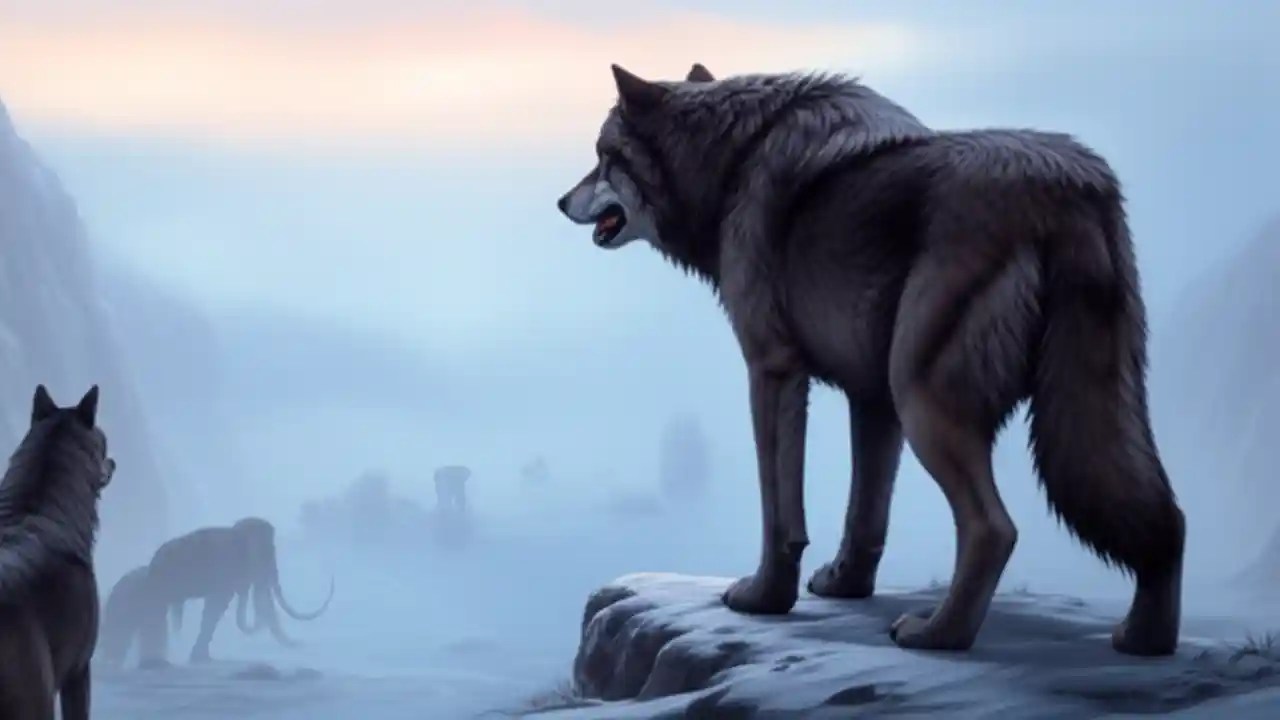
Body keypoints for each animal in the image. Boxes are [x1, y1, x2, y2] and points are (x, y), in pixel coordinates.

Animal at [556, 63, 1186, 655]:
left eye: (603, 157)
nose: (561, 202)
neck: (731, 160)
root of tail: (1071, 188)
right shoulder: (872, 396)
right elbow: (866, 512)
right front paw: (845, 585)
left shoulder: (772, 368)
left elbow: (779, 513)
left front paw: (764, 597)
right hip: (1080, 405)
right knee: (1166, 520)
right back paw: (1146, 640)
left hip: (924, 399)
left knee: (993, 529)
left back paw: (940, 634)